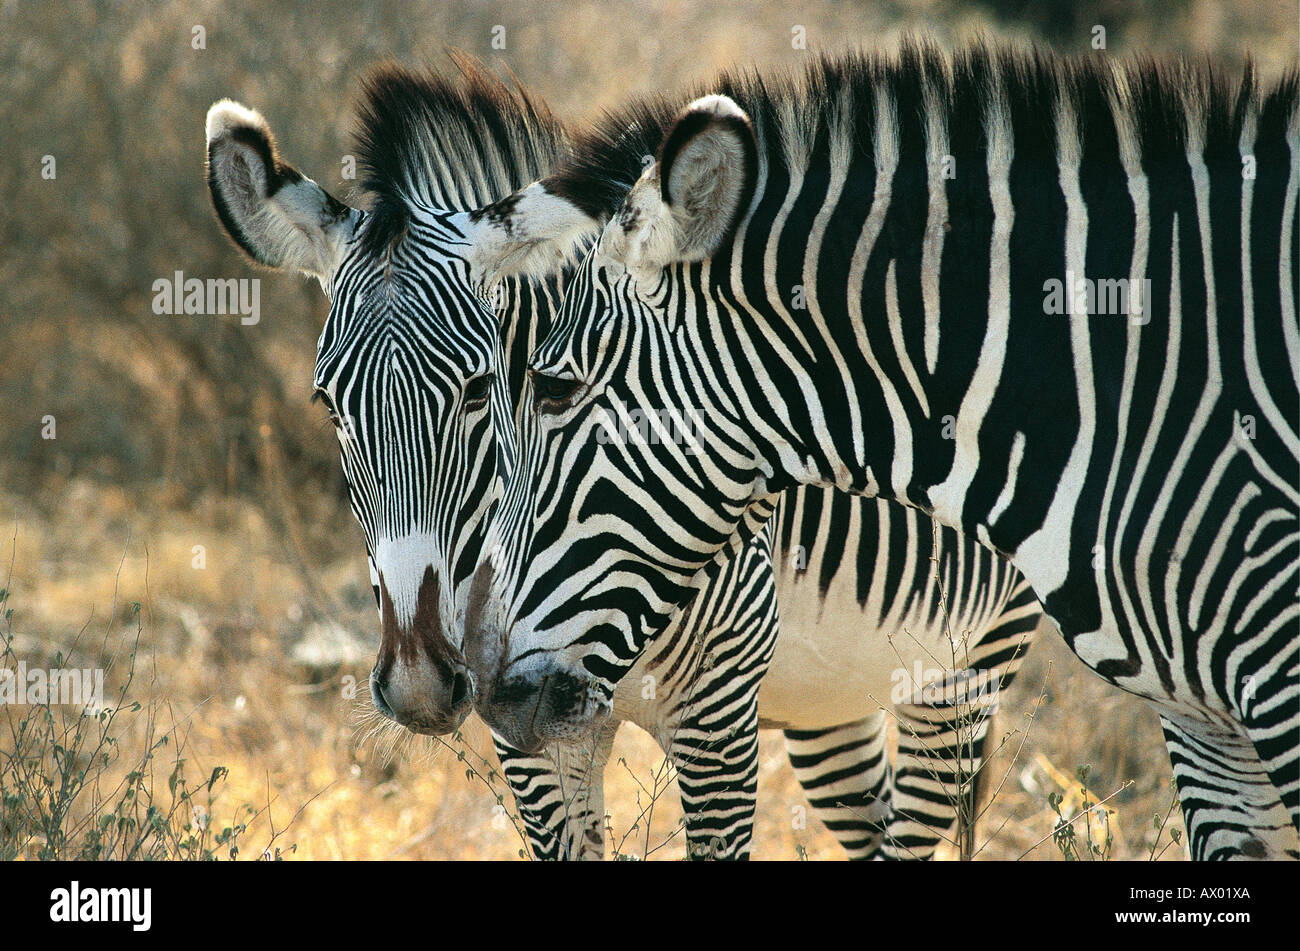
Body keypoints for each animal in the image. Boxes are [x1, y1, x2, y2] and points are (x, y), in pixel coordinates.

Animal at [203, 56, 1036, 859]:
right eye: (329, 406)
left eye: (478, 389)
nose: (417, 686)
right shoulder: (530, 731)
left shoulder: (718, 710)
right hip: (828, 702)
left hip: (965, 668)